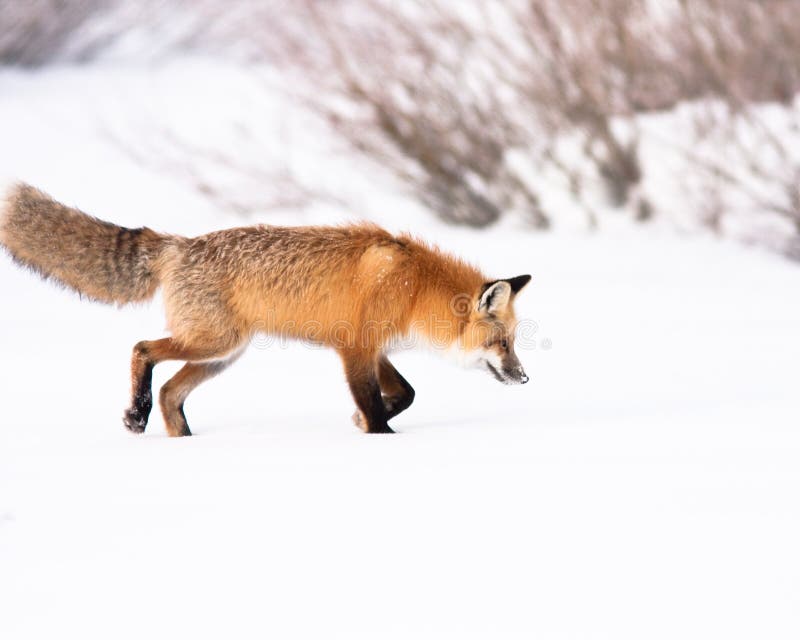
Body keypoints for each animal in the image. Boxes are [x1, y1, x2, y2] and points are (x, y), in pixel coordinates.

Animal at [0, 183, 531, 436]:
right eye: (502, 343)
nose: (525, 378)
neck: (414, 286)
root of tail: (179, 245)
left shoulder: (375, 349)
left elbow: (405, 393)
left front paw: (363, 422)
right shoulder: (354, 348)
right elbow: (375, 402)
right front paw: (378, 435)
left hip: (221, 356)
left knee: (172, 392)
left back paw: (181, 440)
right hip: (213, 342)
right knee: (142, 350)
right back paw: (137, 414)